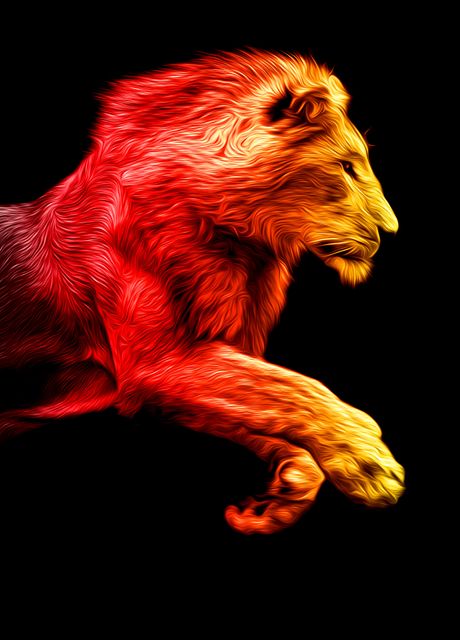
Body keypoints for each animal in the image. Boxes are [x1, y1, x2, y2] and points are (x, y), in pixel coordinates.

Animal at [0, 49, 404, 534]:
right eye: (346, 166)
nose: (392, 230)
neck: (242, 246)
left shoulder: (198, 369)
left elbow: (264, 402)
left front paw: (287, 490)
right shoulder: (158, 364)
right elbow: (293, 389)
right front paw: (369, 463)